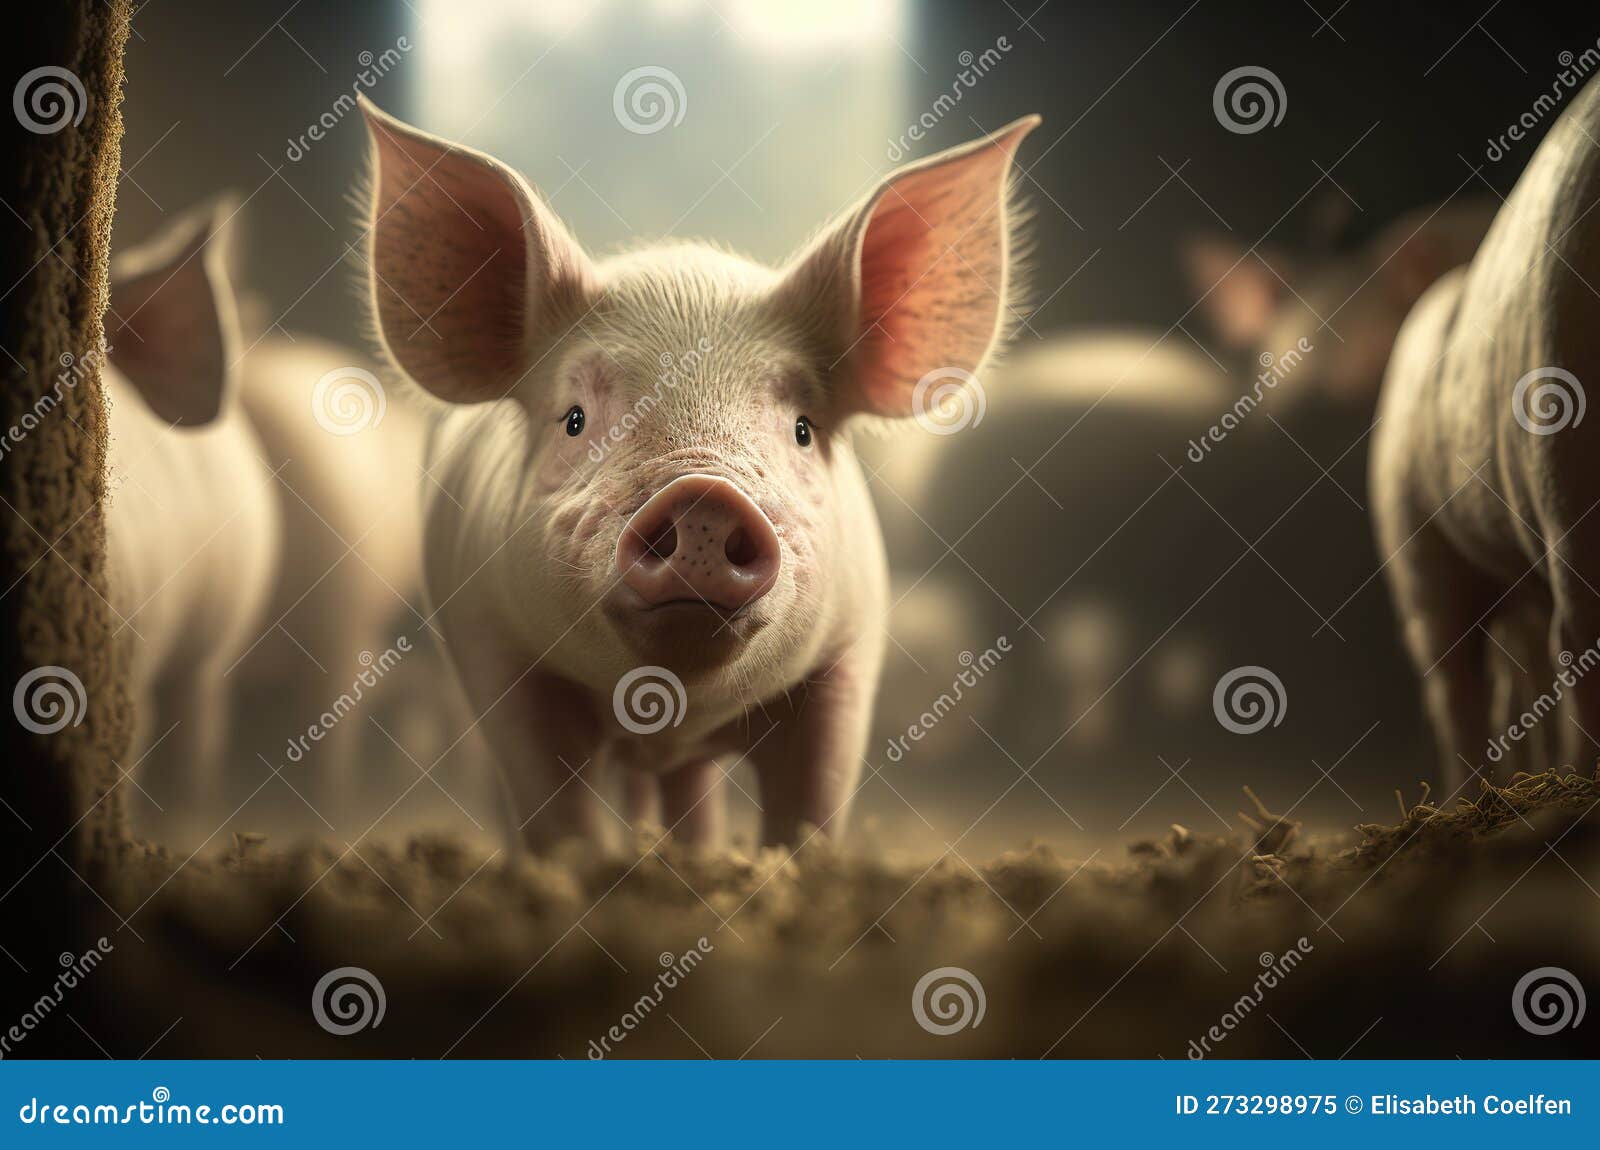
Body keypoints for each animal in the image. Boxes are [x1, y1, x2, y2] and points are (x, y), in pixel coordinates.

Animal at [355, 96, 1040, 850]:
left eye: (803, 430)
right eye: (574, 419)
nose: (705, 496)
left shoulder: (848, 653)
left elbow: (813, 800)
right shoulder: (491, 645)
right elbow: (555, 808)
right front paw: (573, 866)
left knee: (691, 786)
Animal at [1374, 80, 1600, 791]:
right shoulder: (1568, 500)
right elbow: (1582, 643)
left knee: (1517, 673)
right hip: (1418, 553)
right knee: (1455, 686)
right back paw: (1470, 799)